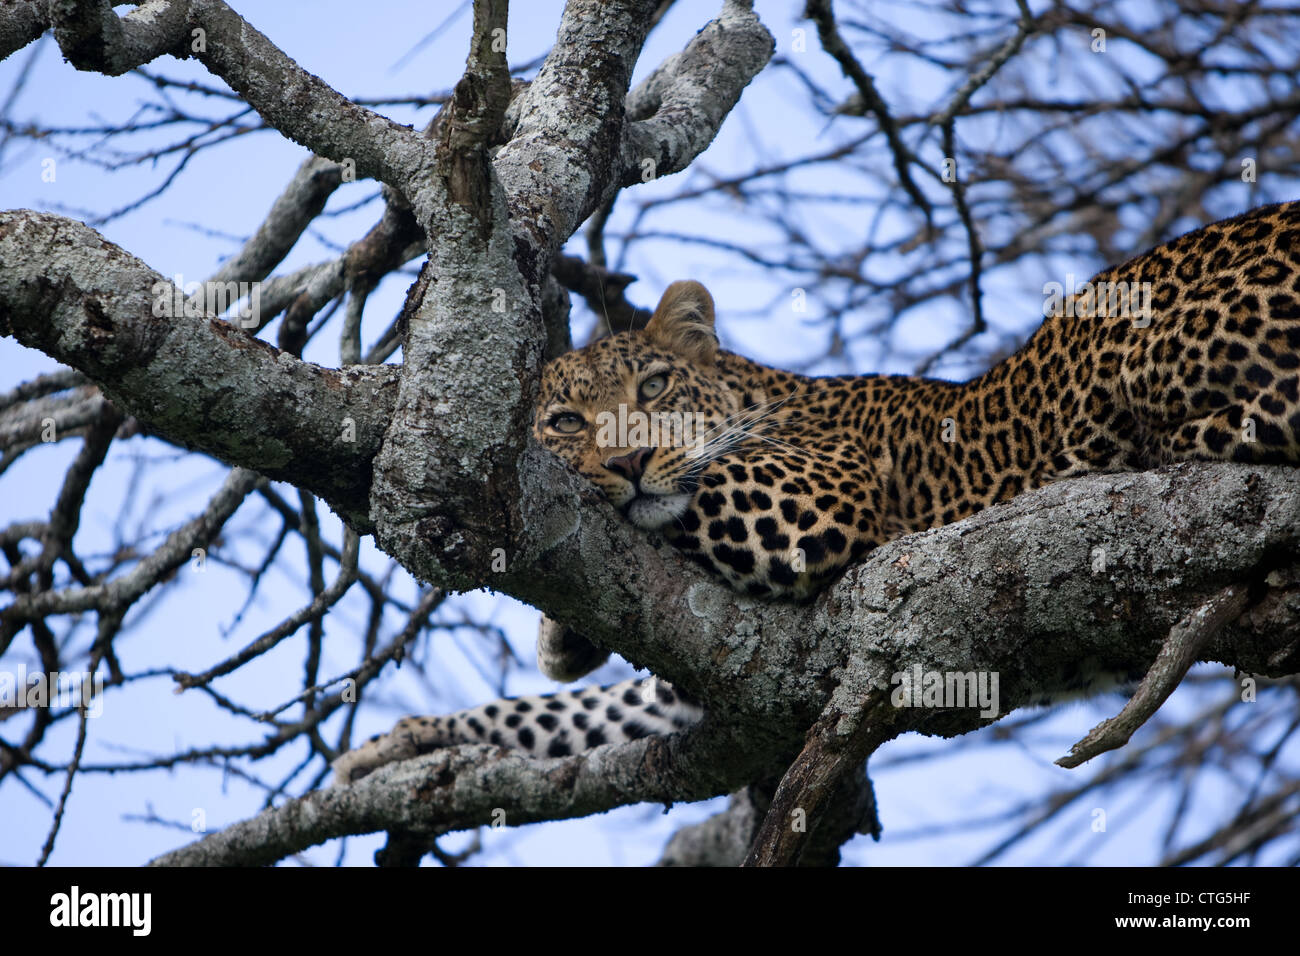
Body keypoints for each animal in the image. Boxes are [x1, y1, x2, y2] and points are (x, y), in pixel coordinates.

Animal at [332, 200, 1300, 785]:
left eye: (653, 388)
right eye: (568, 419)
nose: (628, 461)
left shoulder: (810, 497)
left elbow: (689, 494)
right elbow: (565, 712)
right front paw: (401, 742)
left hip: (1140, 344)